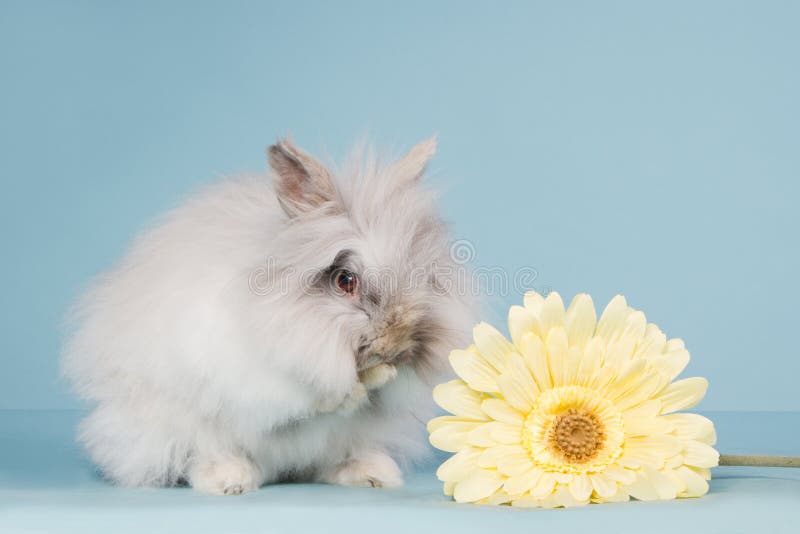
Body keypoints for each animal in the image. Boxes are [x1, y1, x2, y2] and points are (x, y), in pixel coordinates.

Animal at [61, 136, 476, 494]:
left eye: (421, 277)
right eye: (345, 281)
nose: (396, 345)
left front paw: (382, 375)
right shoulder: (261, 379)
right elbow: (315, 397)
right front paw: (361, 385)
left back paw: (372, 474)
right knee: (203, 453)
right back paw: (230, 480)